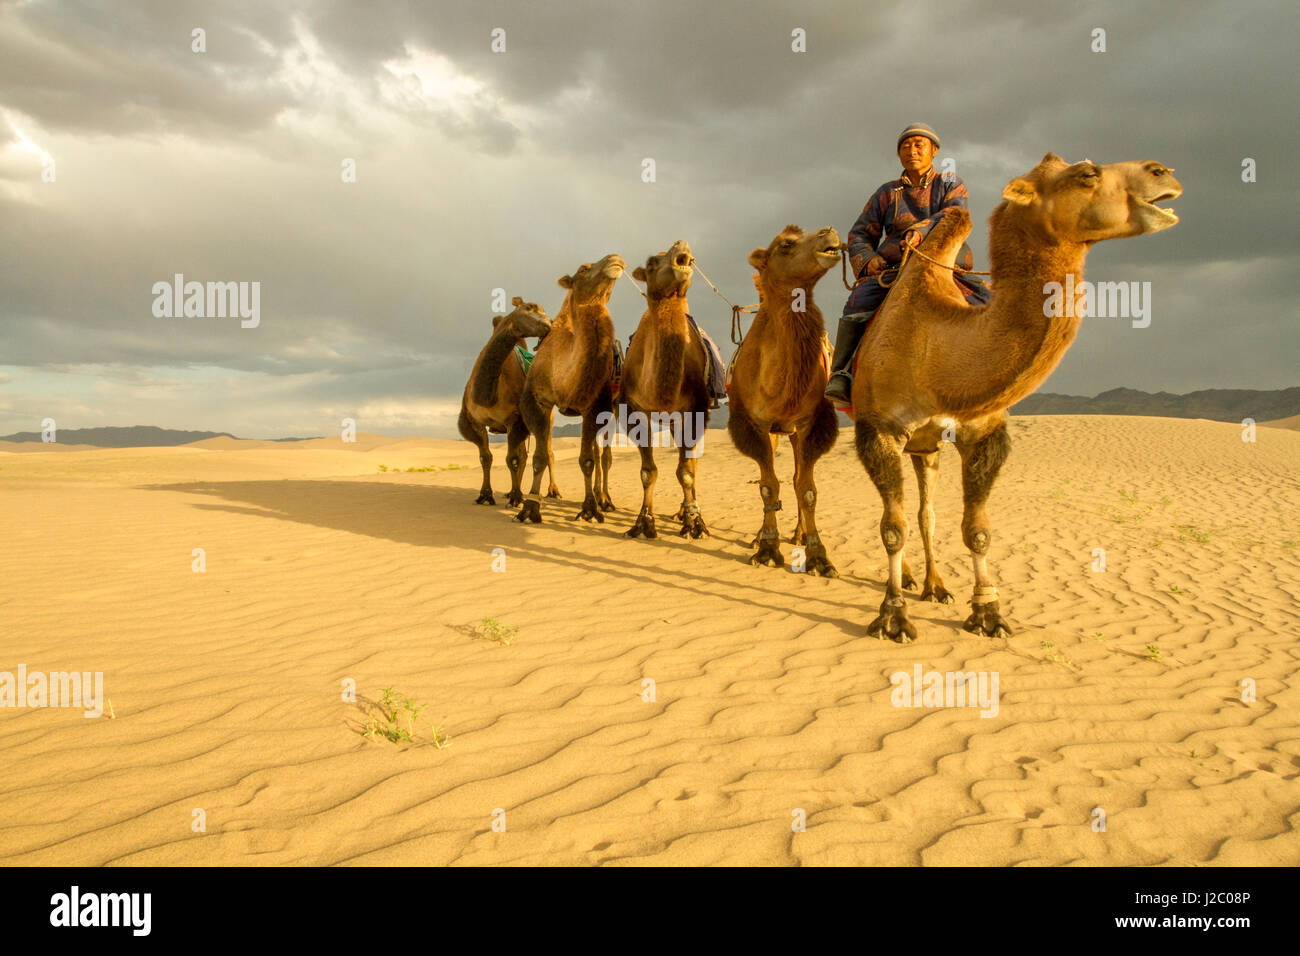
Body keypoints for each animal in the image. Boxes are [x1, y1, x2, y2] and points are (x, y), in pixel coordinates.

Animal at [458, 297, 558, 506]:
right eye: (529, 307)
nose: (550, 322)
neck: (487, 395)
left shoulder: (514, 419)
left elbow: (512, 459)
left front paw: (517, 498)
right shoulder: (475, 421)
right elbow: (485, 457)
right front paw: (485, 495)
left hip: (547, 417)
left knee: (548, 452)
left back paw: (552, 491)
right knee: (524, 454)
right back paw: (511, 492)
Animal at [516, 253, 626, 524]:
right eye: (583, 269)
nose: (615, 259)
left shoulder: (596, 405)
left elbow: (587, 460)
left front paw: (590, 509)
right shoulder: (537, 402)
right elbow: (540, 457)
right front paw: (529, 508)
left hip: (615, 408)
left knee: (604, 456)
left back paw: (604, 499)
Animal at [620, 240, 711, 539]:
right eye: (651, 263)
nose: (681, 246)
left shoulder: (695, 410)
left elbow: (686, 471)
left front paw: (696, 524)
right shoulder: (633, 411)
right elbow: (648, 471)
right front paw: (643, 523)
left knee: (692, 463)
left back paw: (687, 512)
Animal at [726, 225, 844, 577]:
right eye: (786, 245)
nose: (829, 232)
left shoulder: (810, 423)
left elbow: (806, 490)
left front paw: (819, 556)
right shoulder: (755, 424)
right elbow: (768, 486)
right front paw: (766, 548)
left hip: (791, 432)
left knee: (795, 479)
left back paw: (799, 535)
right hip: (776, 432)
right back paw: (758, 537)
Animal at [849, 153, 1182, 642]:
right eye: (1087, 174)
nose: (1163, 171)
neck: (935, 350)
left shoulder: (981, 433)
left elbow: (977, 529)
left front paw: (988, 613)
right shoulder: (880, 429)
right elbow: (892, 528)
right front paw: (893, 618)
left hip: (926, 447)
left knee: (925, 512)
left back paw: (932, 585)